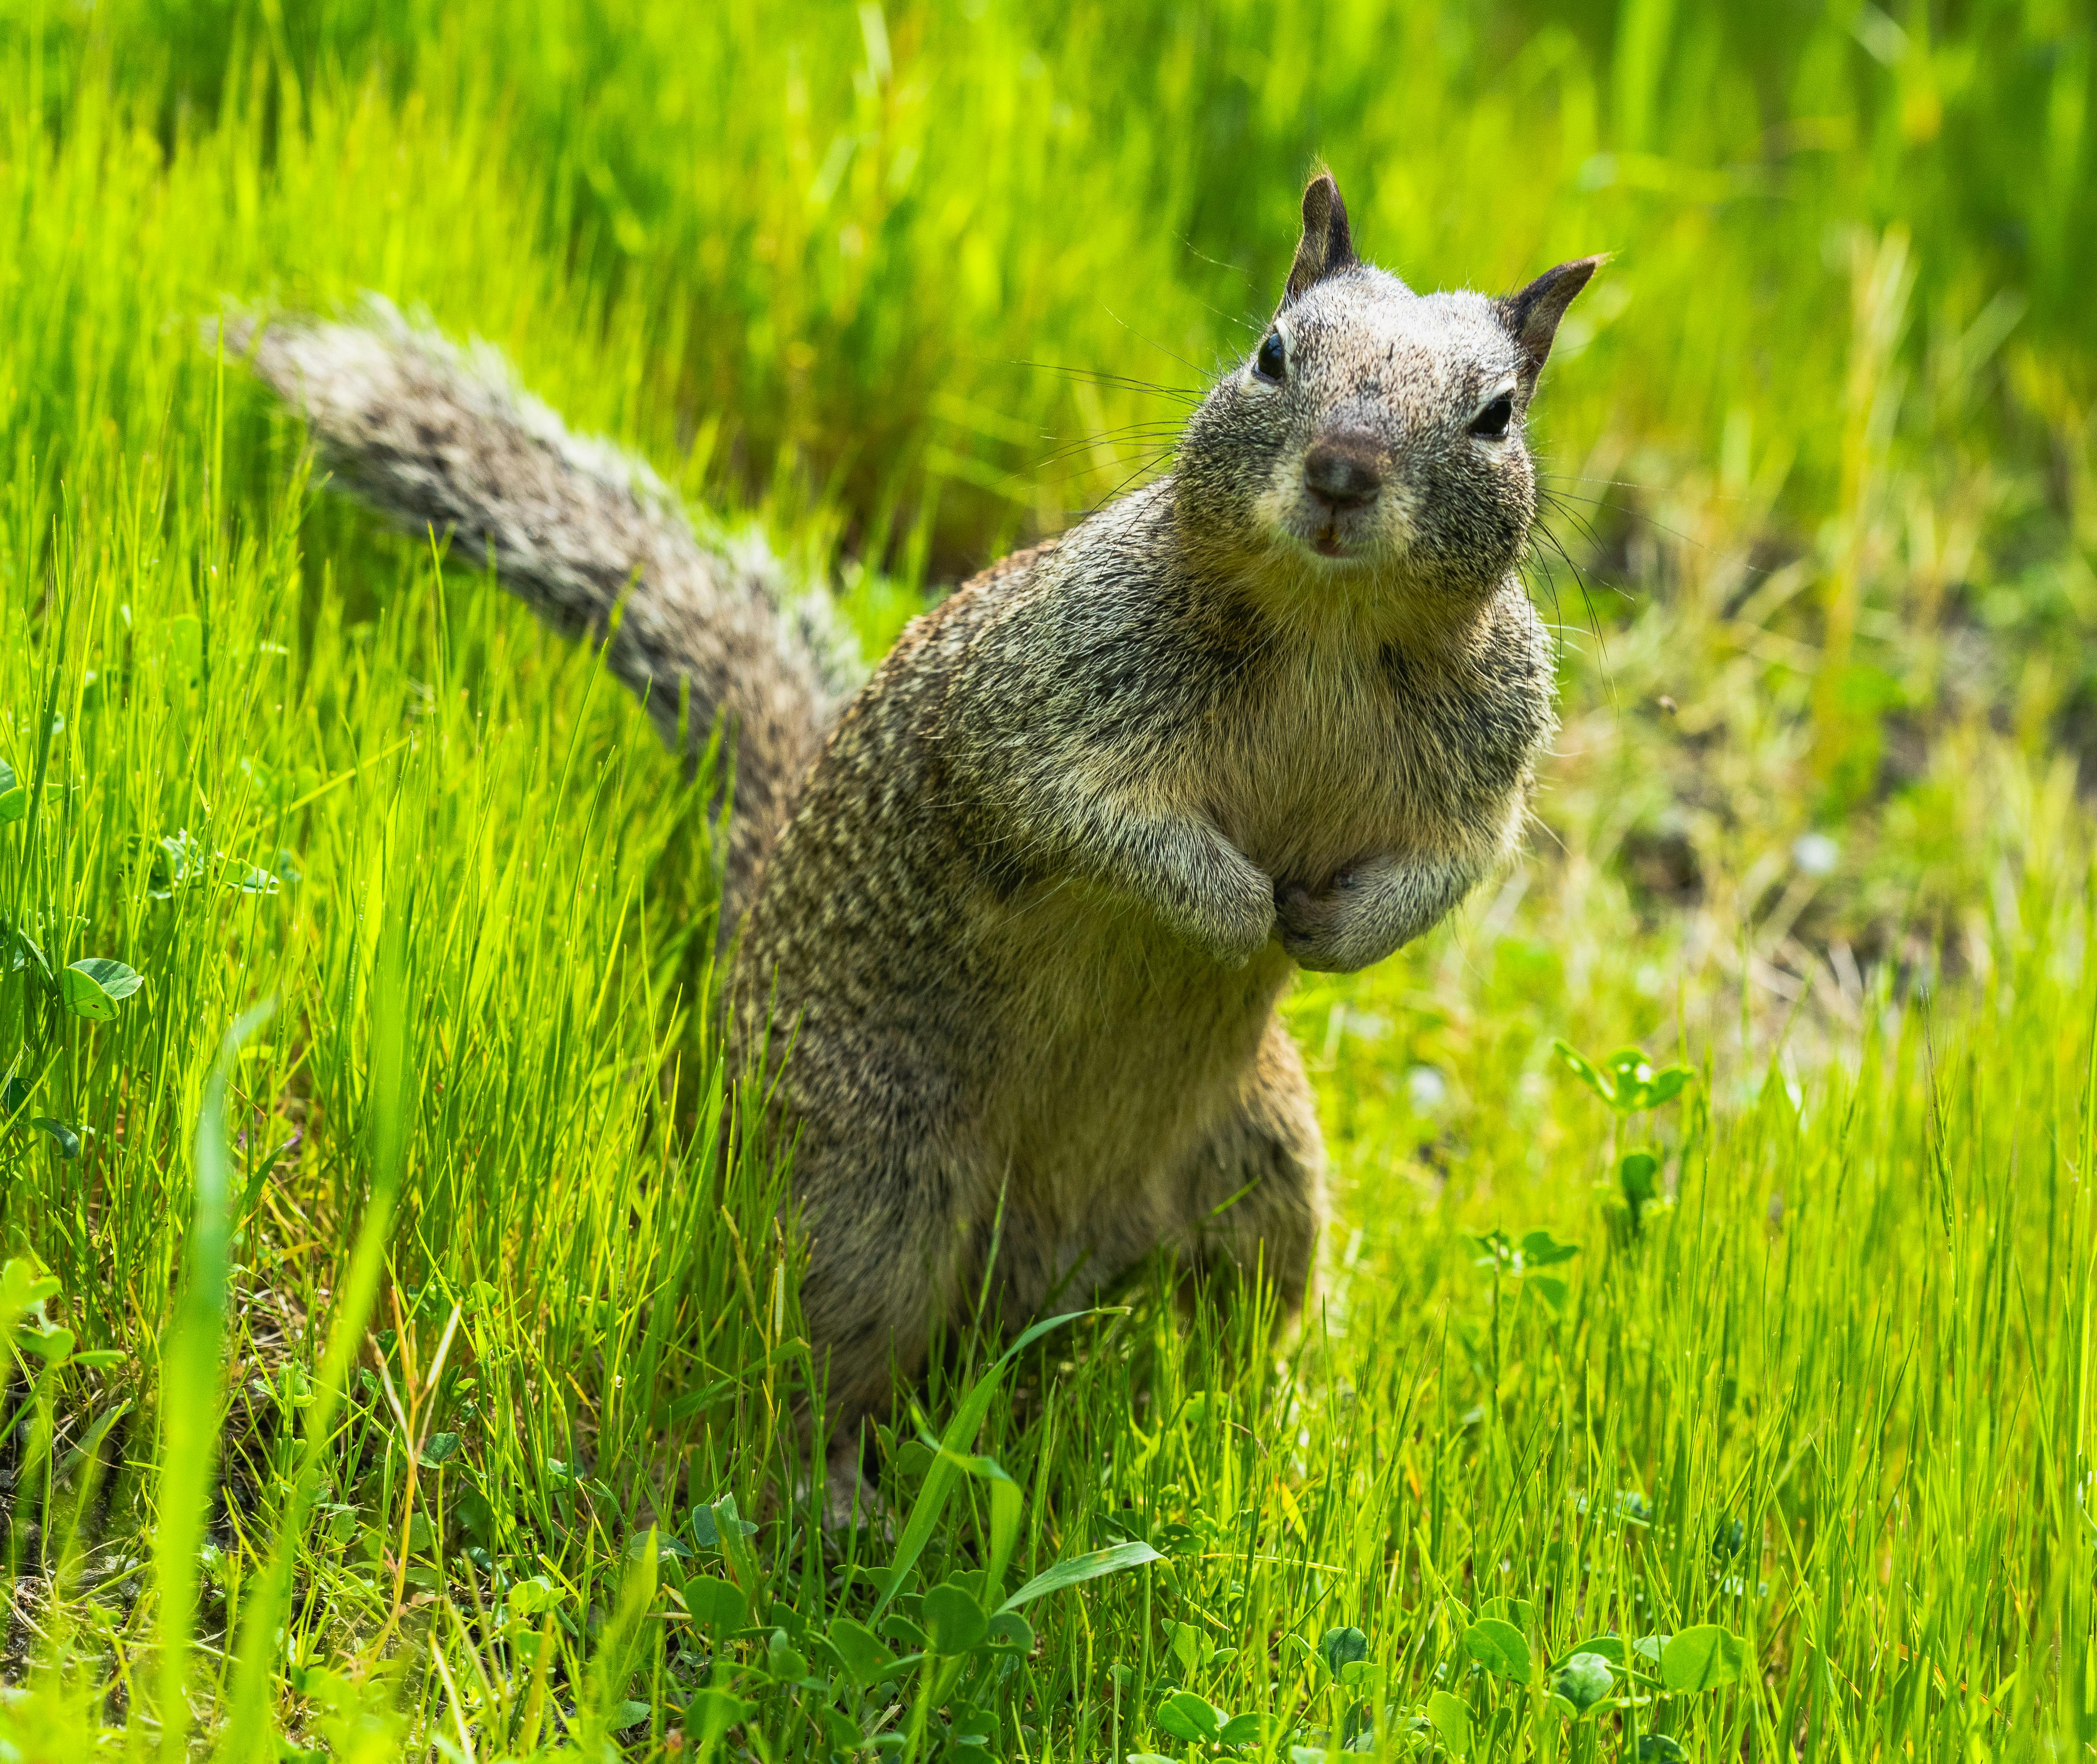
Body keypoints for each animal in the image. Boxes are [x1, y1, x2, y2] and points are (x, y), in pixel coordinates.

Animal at [237, 172, 1597, 1507]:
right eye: (1270, 353)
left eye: (1495, 416)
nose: (1344, 472)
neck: (1329, 626)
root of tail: (1055, 1263)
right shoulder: (1041, 710)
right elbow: (1097, 823)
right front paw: (1233, 905)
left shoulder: (1486, 758)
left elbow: (1454, 865)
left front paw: (1336, 928)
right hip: (872, 1192)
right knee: (821, 1355)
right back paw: (832, 1488)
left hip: (1267, 1185)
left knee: (1233, 1329)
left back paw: (1267, 1437)